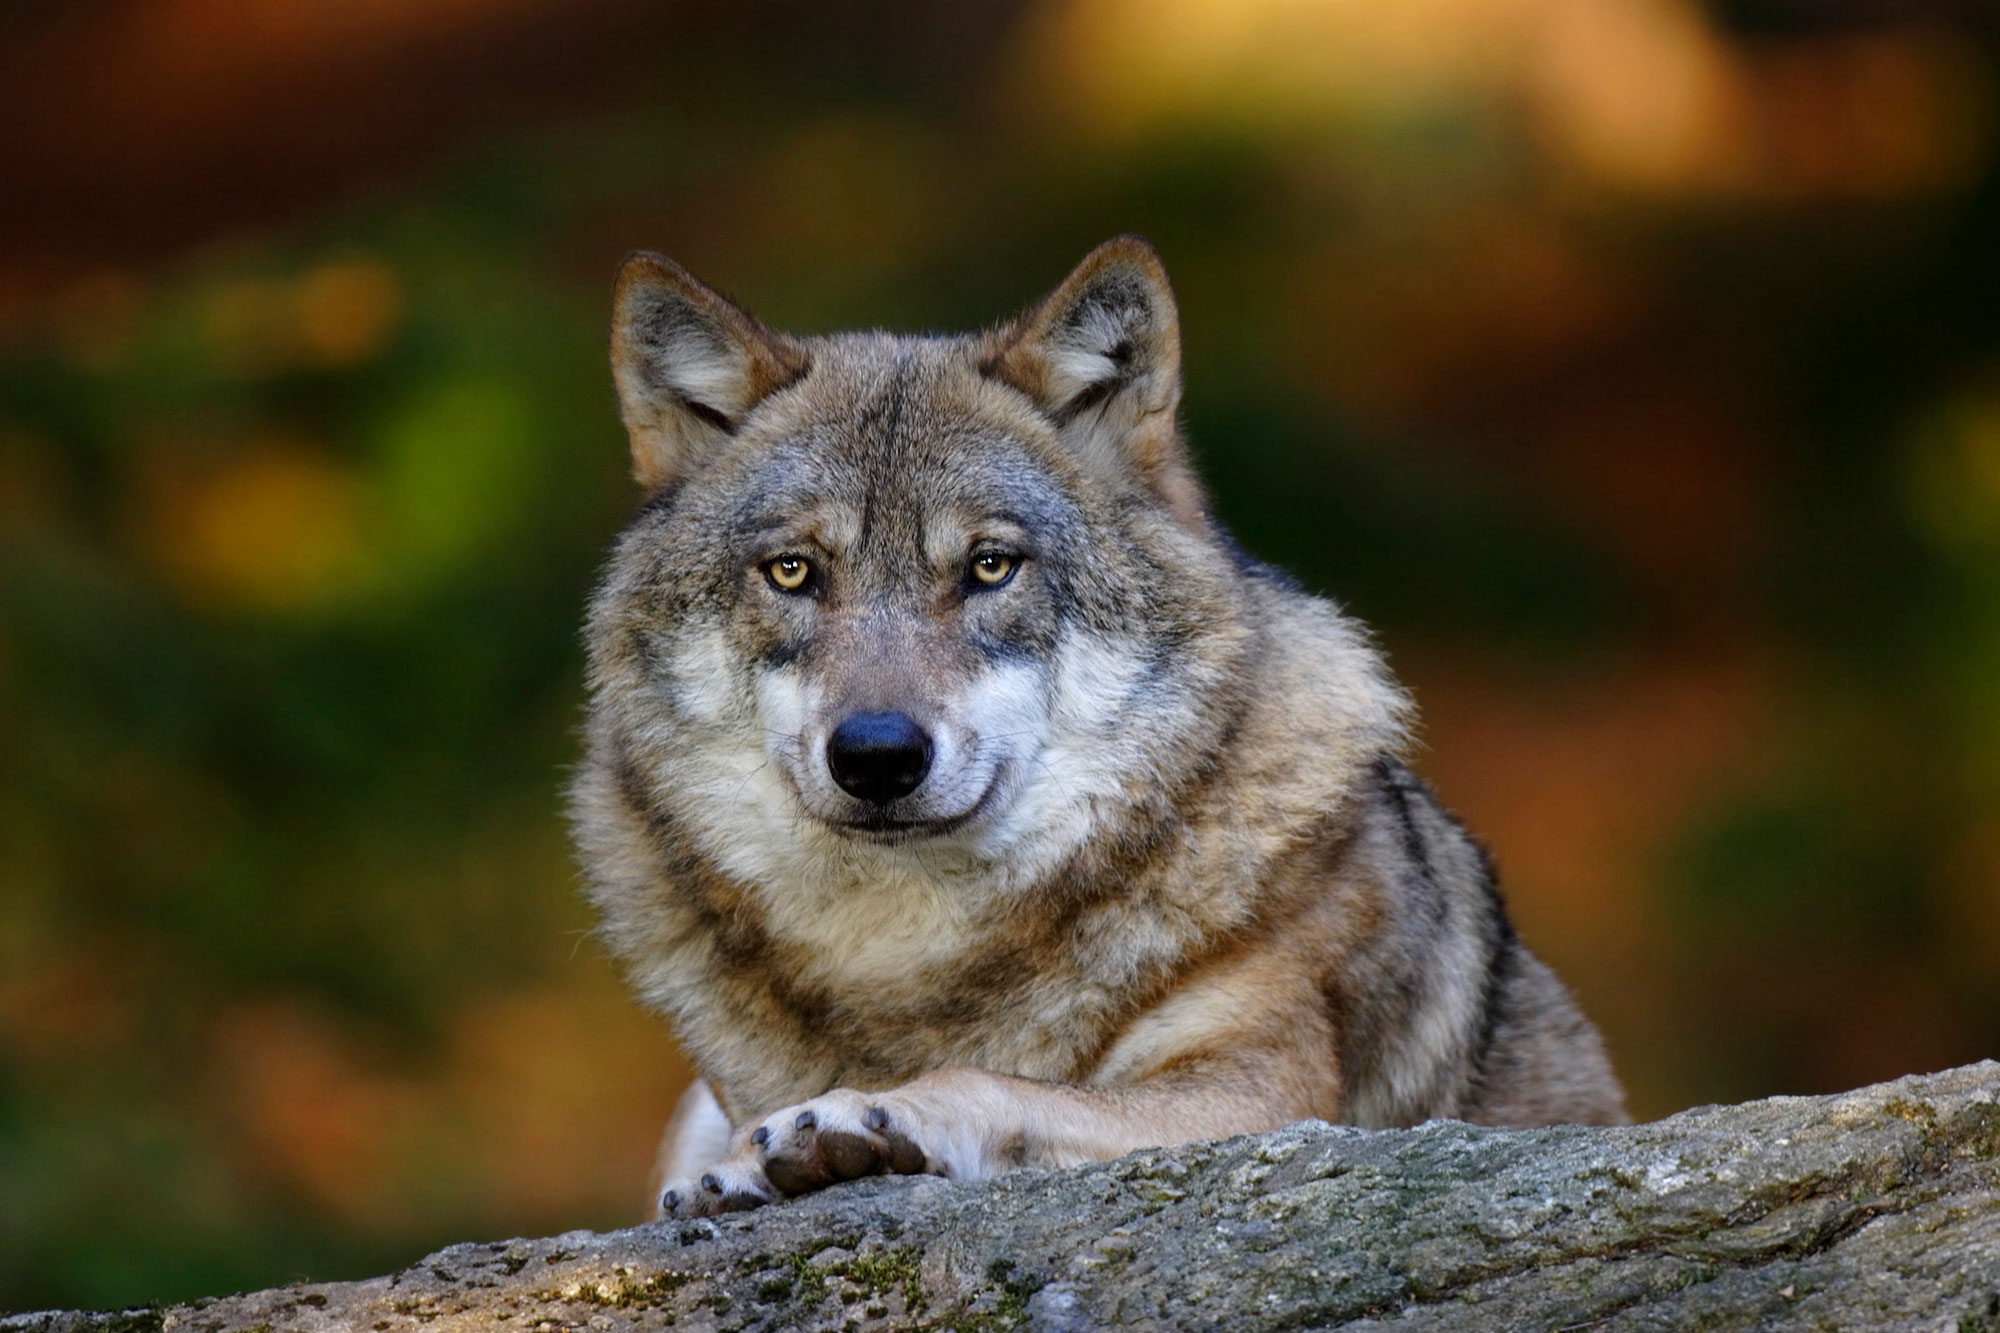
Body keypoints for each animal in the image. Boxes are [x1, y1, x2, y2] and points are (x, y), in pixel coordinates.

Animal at [570, 236, 1627, 1219]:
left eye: (991, 566)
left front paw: (858, 1116)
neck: (906, 960)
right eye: (793, 572)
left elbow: (997, 1081)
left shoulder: (1265, 1096)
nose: (876, 756)